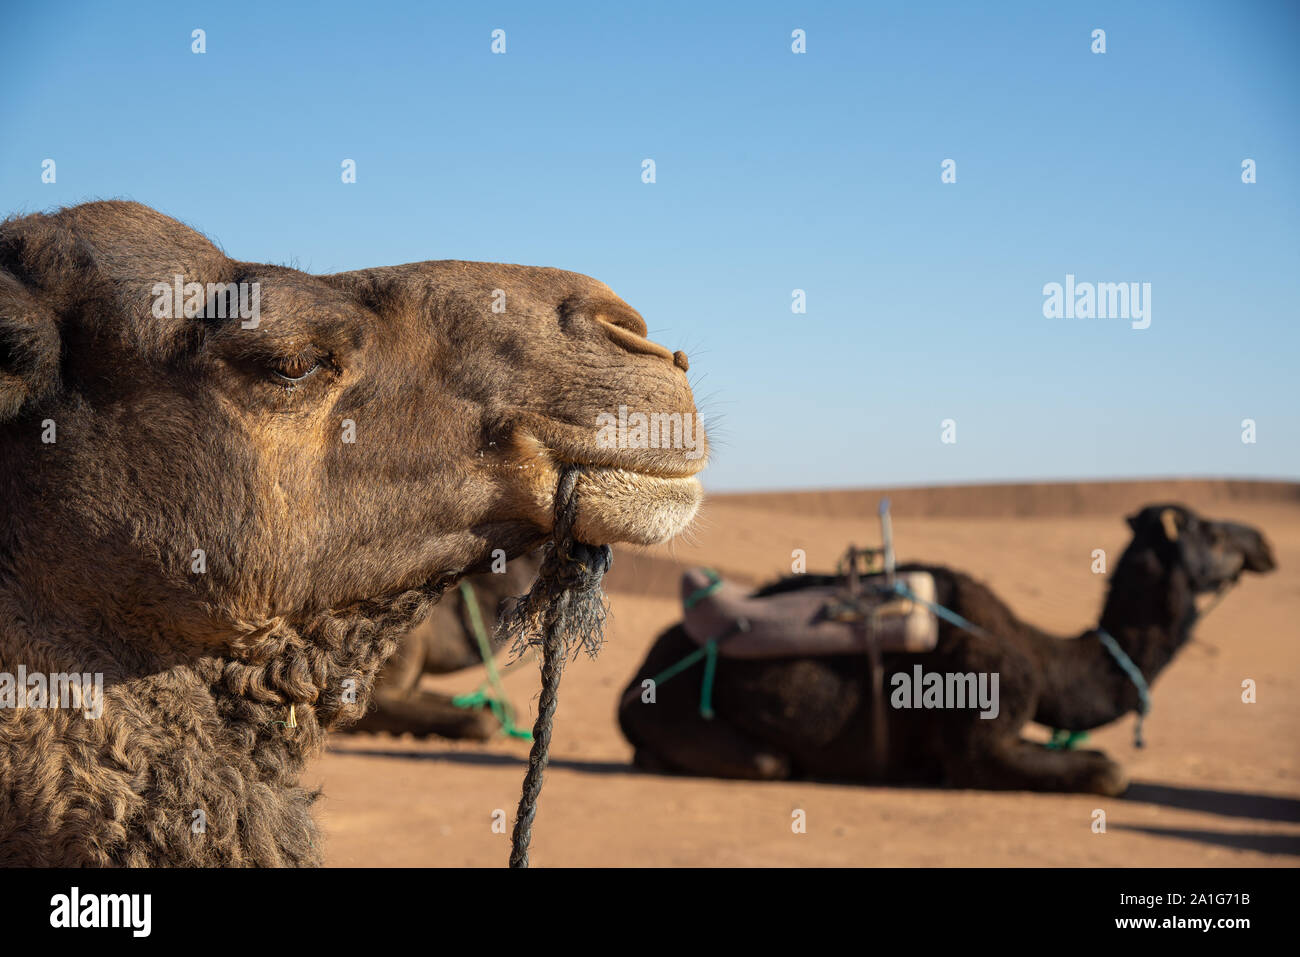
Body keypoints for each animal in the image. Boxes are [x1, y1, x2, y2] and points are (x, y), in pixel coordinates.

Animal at [619, 504, 1275, 795]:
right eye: (1211, 532)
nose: (1264, 543)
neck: (1045, 660)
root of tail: (633, 682)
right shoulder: (982, 728)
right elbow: (1111, 773)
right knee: (767, 761)